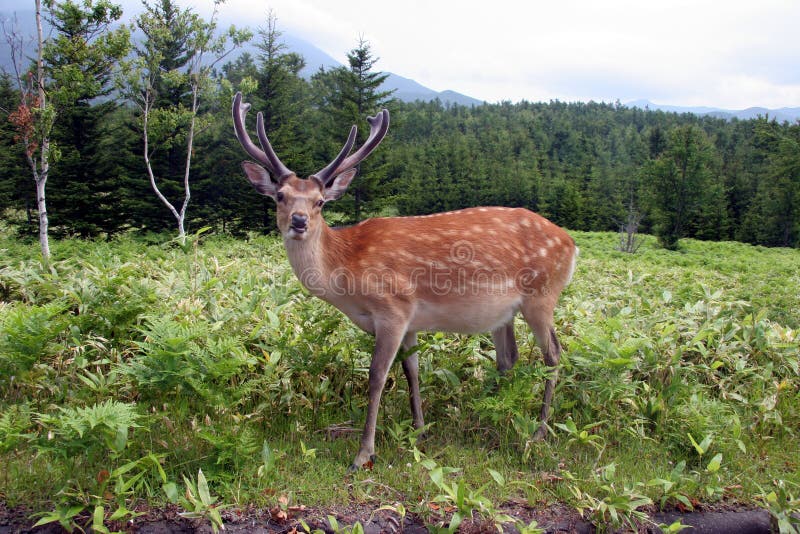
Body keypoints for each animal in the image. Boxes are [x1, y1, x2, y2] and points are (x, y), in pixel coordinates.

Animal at [231, 92, 578, 471]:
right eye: (280, 196)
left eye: (320, 202)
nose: (298, 221)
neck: (347, 276)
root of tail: (571, 244)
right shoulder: (410, 318)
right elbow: (412, 369)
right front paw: (419, 430)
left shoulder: (393, 307)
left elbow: (377, 375)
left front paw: (363, 454)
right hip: (505, 312)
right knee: (508, 358)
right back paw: (488, 414)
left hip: (542, 295)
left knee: (554, 354)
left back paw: (539, 431)